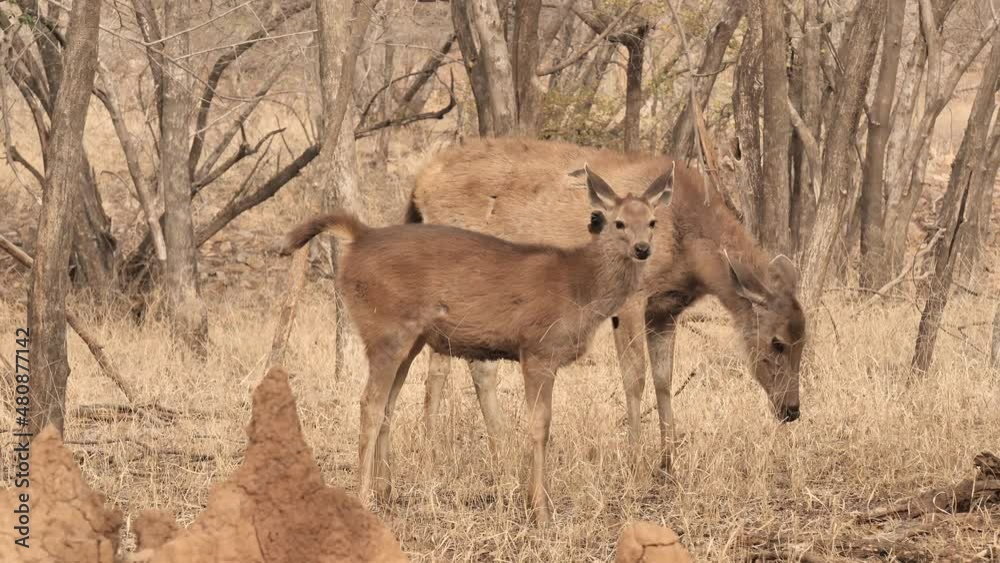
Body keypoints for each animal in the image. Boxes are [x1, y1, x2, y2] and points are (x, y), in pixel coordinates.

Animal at [281, 166, 673, 525]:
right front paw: (541, 510)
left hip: (410, 339)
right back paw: (364, 498)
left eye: (652, 221)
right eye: (618, 223)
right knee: (370, 405)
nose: (642, 249)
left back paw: (386, 493)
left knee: (388, 405)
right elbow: (540, 426)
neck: (579, 289)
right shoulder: (537, 348)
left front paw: (533, 500)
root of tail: (359, 238)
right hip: (386, 329)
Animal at [411, 138, 806, 472]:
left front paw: (669, 459)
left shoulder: (665, 309)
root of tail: (420, 185)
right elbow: (634, 377)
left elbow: (664, 378)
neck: (689, 246)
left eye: (805, 340)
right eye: (777, 342)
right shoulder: (632, 299)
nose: (792, 410)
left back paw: (497, 450)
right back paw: (436, 451)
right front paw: (635, 459)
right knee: (444, 365)